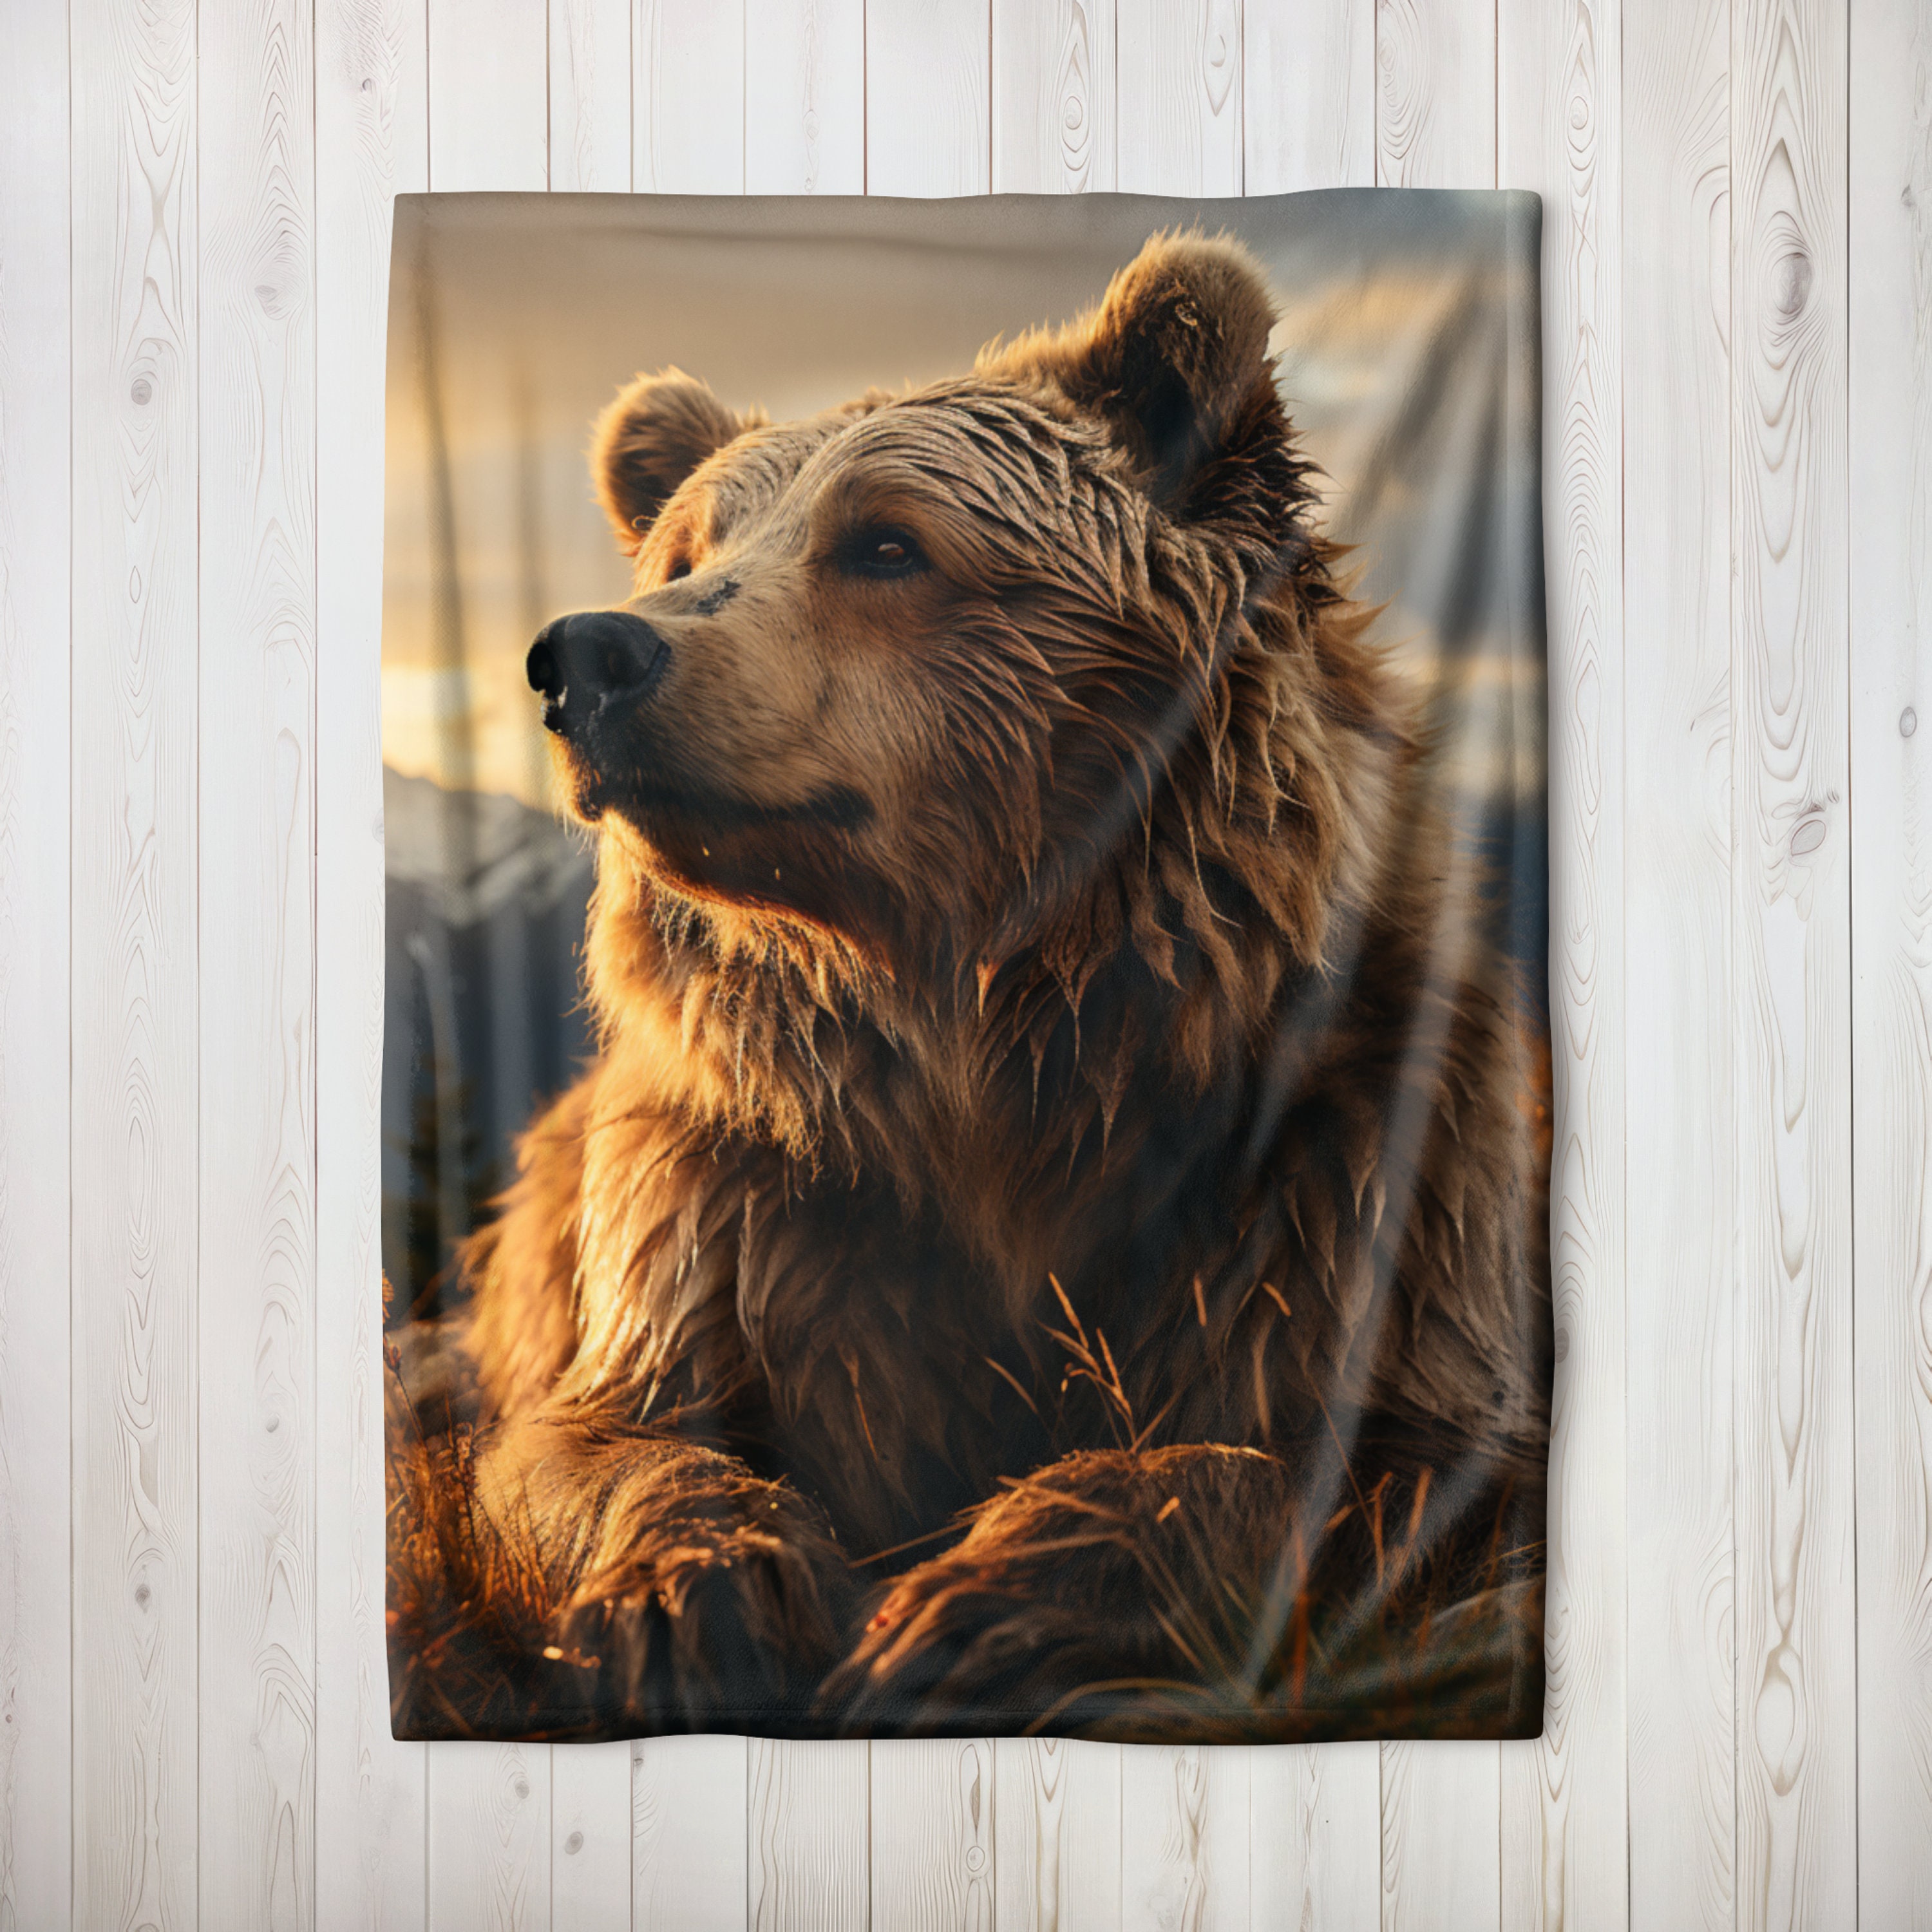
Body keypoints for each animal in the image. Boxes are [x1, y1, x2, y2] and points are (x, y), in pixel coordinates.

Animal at [386, 230, 1551, 1745]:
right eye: (685, 551)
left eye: (886, 541)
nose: (587, 652)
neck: (987, 1049)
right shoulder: (740, 1208)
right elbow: (605, 1439)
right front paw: (703, 1597)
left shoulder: (1328, 1177)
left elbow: (1356, 1460)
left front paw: (967, 1611)